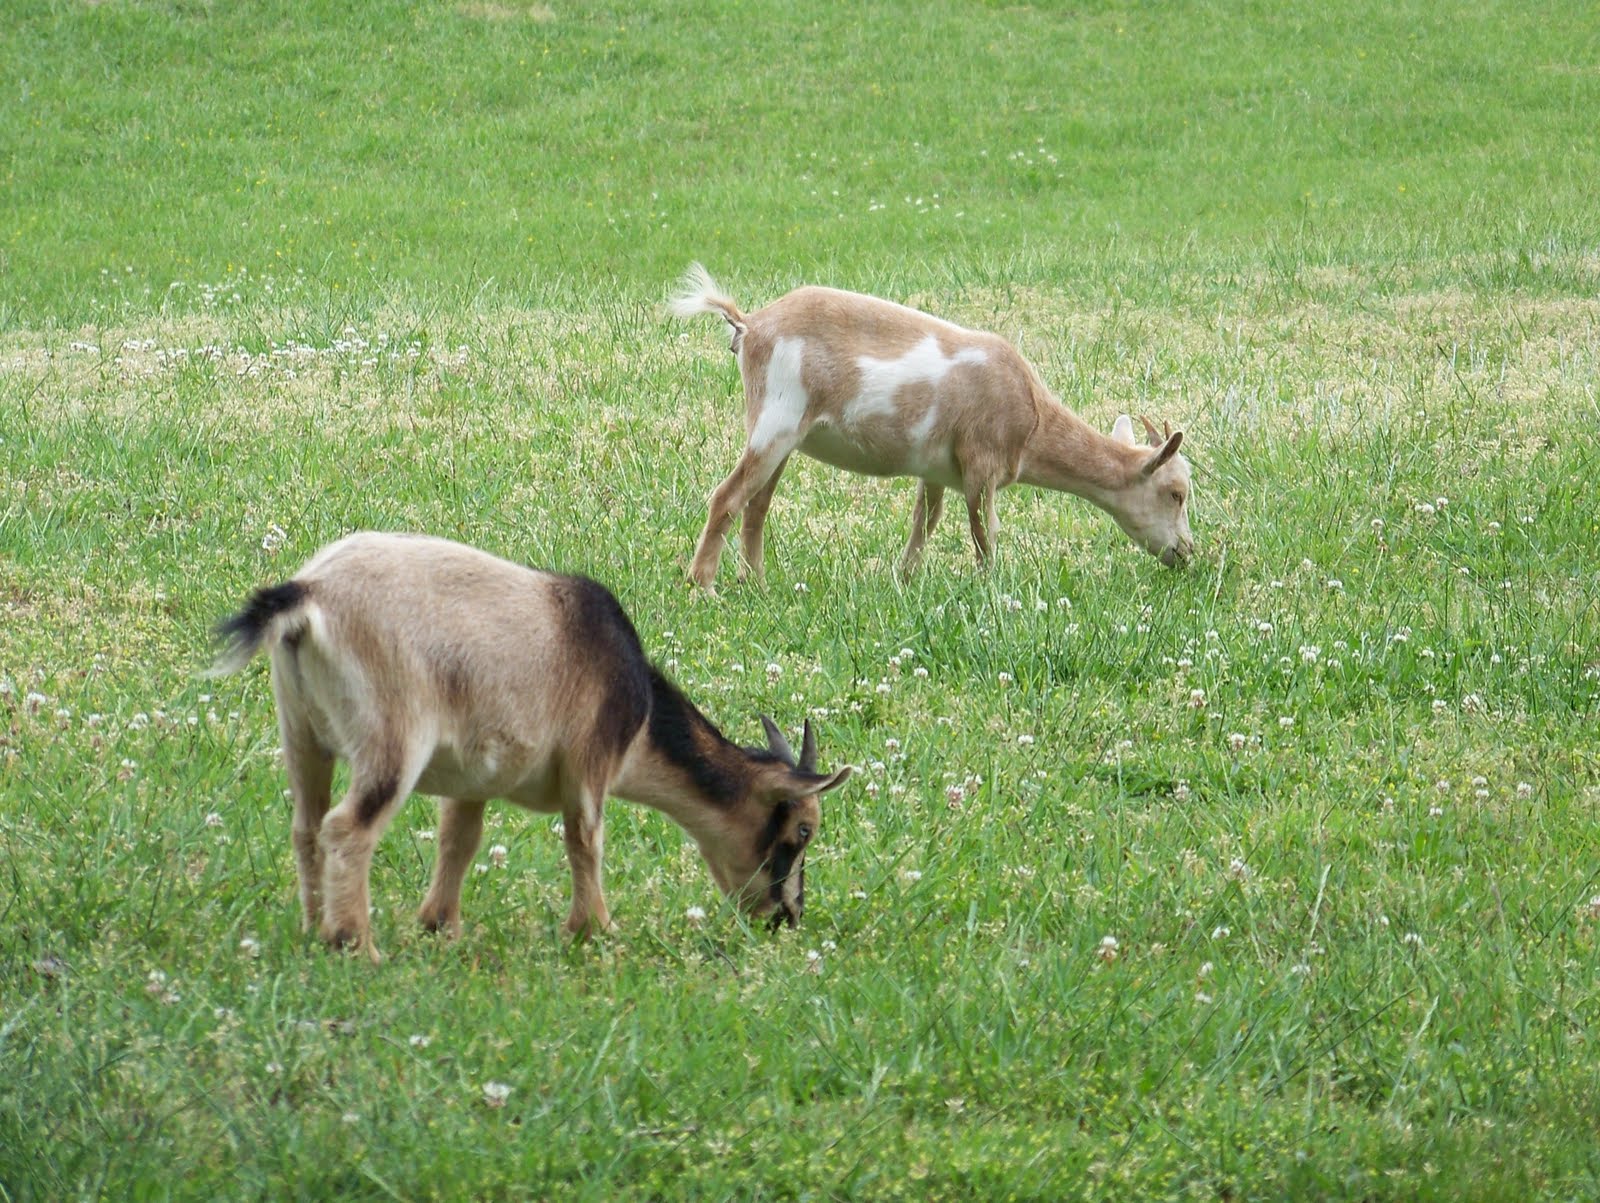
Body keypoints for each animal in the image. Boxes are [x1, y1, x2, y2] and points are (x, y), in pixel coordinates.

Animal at [208, 532, 851, 961]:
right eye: (803, 830)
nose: (787, 917)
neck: (637, 712)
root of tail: (308, 594)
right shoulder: (591, 760)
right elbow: (585, 839)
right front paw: (595, 932)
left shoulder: (473, 777)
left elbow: (460, 839)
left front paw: (442, 927)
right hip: (392, 735)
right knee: (348, 827)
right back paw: (355, 944)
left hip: (300, 729)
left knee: (306, 826)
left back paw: (313, 928)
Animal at [668, 264, 1194, 589]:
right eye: (1175, 493)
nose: (1186, 552)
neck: (1032, 417)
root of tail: (751, 324)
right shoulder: (982, 464)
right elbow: (984, 531)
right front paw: (990, 587)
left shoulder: (937, 469)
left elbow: (926, 521)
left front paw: (904, 579)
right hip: (777, 419)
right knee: (727, 497)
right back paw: (703, 586)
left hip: (782, 435)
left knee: (756, 506)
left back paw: (755, 584)